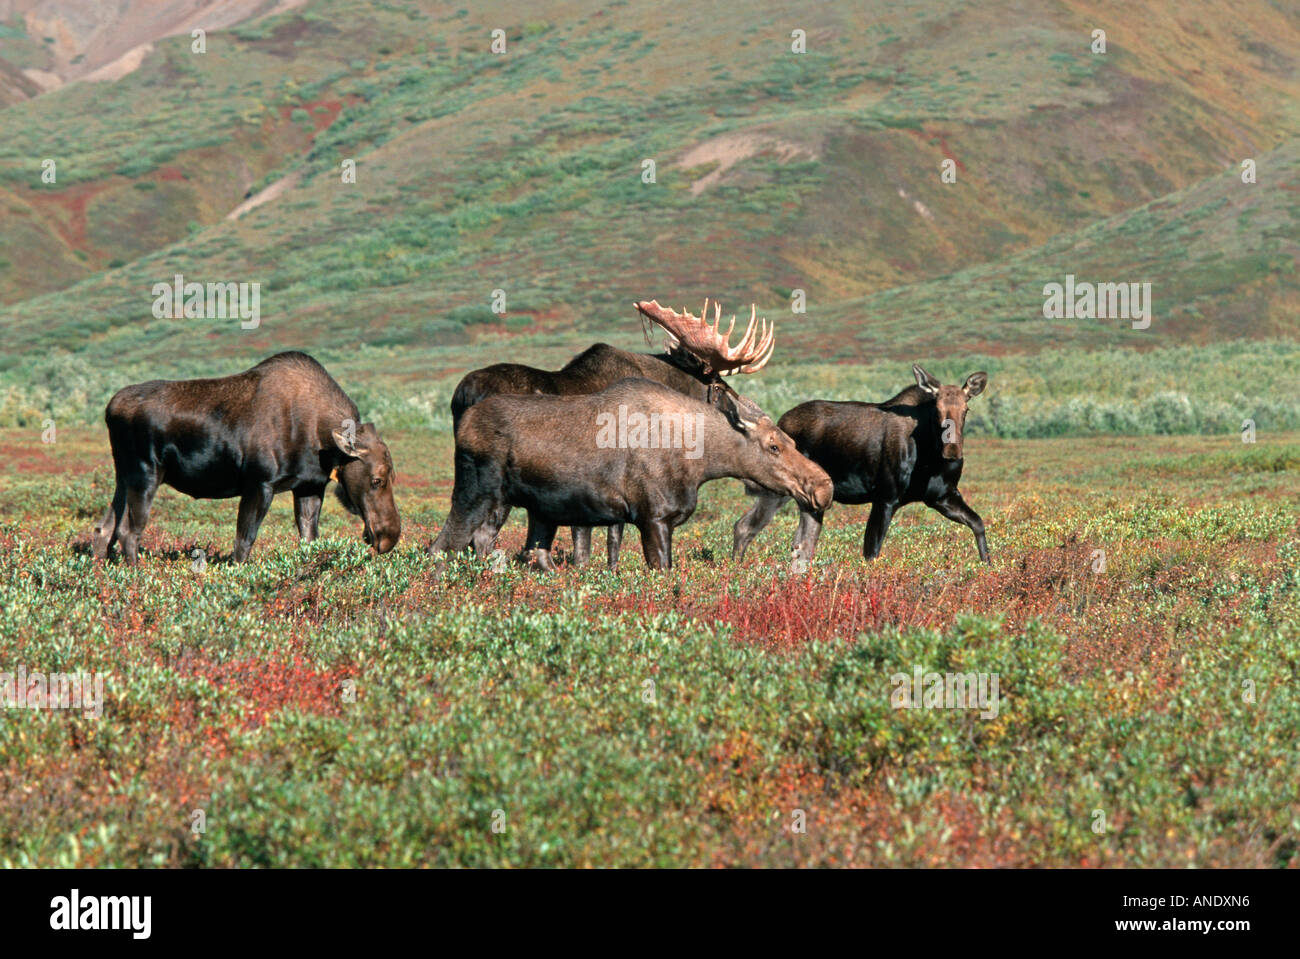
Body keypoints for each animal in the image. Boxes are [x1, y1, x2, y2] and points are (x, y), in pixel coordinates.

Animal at [731, 365, 990, 565]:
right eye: (936, 411)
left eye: (966, 409)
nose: (952, 451)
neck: (930, 460)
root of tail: (779, 423)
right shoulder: (885, 498)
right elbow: (871, 552)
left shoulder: (942, 496)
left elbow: (978, 523)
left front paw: (987, 566)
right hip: (777, 489)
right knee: (744, 527)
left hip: (809, 499)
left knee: (799, 543)